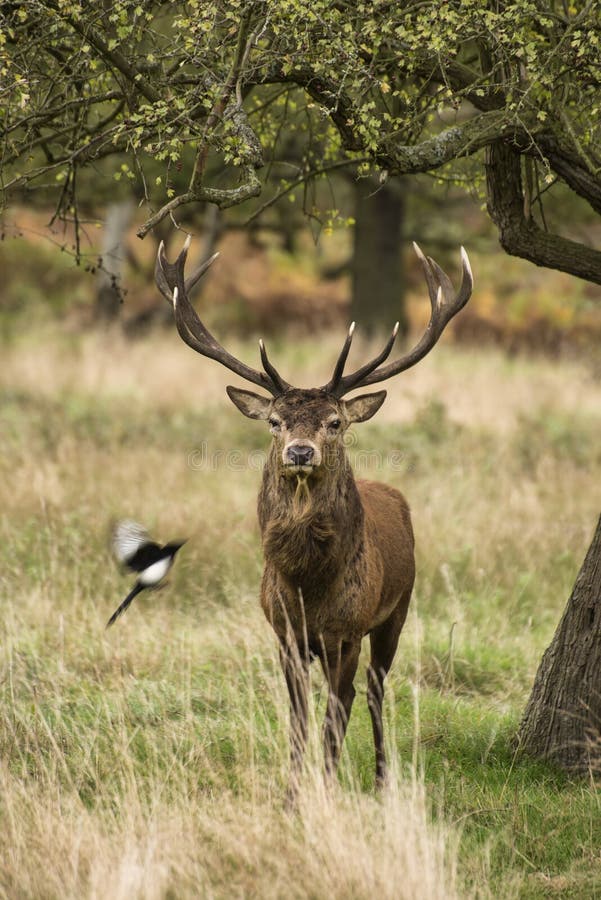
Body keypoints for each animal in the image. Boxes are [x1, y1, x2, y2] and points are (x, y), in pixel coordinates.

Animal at [155, 237, 472, 800]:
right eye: (275, 421)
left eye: (335, 422)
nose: (300, 452)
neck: (308, 583)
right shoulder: (285, 632)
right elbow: (300, 718)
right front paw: (292, 793)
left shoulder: (347, 630)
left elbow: (335, 716)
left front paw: (324, 788)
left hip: (397, 610)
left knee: (373, 692)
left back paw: (382, 777)